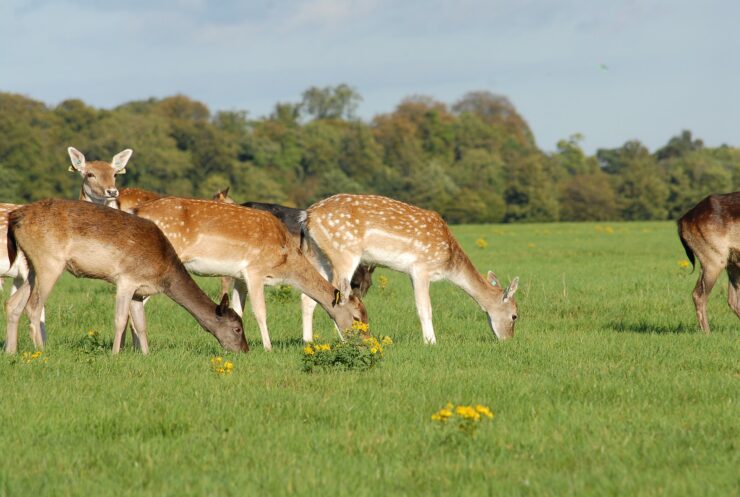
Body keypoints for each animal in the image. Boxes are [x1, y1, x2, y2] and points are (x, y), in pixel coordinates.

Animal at [4, 199, 248, 355]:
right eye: (237, 328)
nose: (245, 349)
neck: (163, 271)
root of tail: (16, 216)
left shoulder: (139, 291)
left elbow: (141, 324)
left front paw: (146, 355)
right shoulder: (126, 280)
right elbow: (121, 319)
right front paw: (115, 354)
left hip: (31, 265)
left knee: (13, 303)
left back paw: (11, 351)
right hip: (50, 262)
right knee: (33, 306)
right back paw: (41, 351)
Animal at [133, 197, 368, 351]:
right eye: (357, 318)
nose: (366, 341)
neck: (285, 260)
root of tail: (137, 211)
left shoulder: (239, 277)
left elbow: (238, 309)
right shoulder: (255, 270)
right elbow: (260, 311)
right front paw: (268, 347)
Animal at [299, 194, 520, 344]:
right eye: (515, 315)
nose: (508, 340)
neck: (448, 263)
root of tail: (307, 216)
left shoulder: (413, 274)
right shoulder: (422, 268)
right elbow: (425, 308)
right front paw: (431, 342)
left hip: (317, 255)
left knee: (310, 296)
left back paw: (308, 340)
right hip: (344, 252)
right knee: (339, 297)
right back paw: (346, 339)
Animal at [677, 192, 740, 332]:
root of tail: (682, 221)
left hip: (732, 262)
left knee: (733, 300)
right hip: (714, 260)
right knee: (698, 294)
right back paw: (707, 332)